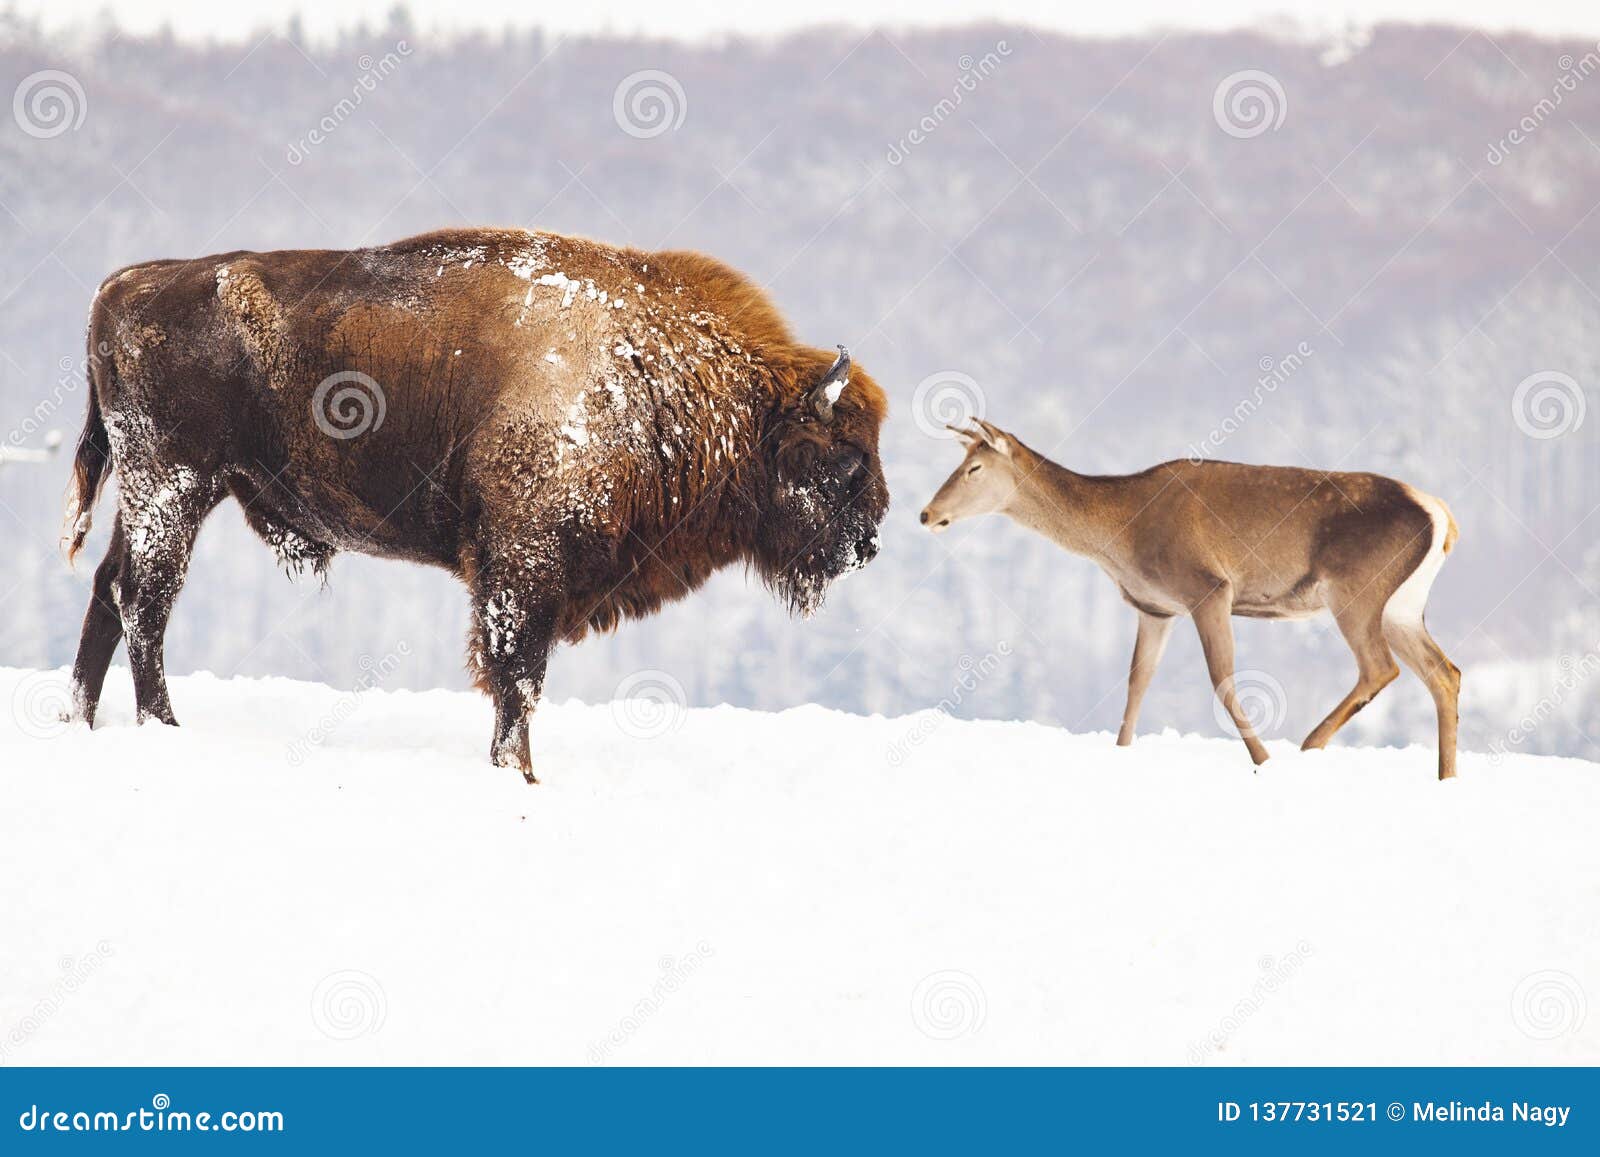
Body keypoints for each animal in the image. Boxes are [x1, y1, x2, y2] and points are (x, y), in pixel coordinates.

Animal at [61, 228, 890, 780]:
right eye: (848, 459)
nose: (870, 541)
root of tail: (119, 287)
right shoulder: (522, 567)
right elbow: (516, 675)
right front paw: (518, 772)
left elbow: (515, 677)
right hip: (173, 484)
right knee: (144, 600)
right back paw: (163, 726)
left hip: (149, 493)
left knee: (107, 590)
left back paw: (79, 720)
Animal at [920, 419, 1461, 779]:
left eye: (973, 468)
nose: (926, 514)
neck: (1118, 536)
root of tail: (1442, 516)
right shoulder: (1156, 608)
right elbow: (1137, 683)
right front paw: (1121, 752)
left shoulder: (1208, 586)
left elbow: (1222, 679)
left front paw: (1262, 761)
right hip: (1403, 606)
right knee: (1444, 673)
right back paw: (1445, 774)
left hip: (1356, 589)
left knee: (1380, 667)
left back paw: (1308, 746)